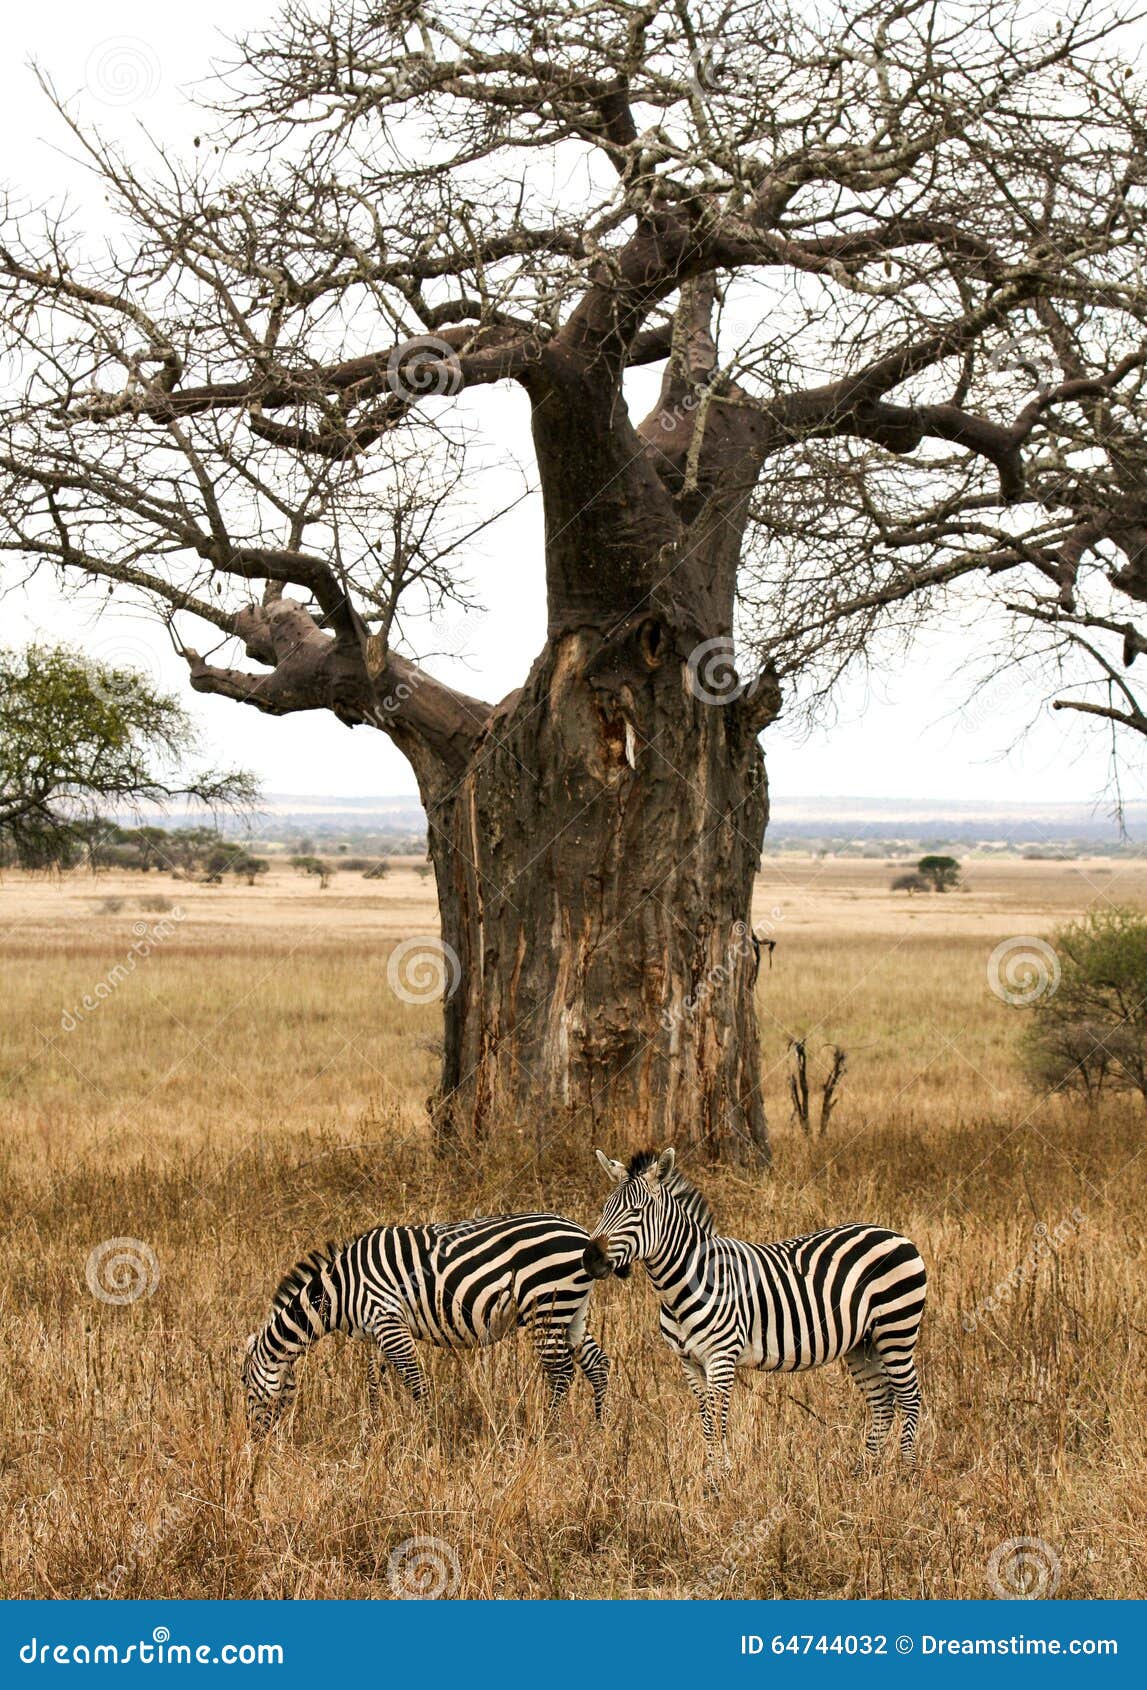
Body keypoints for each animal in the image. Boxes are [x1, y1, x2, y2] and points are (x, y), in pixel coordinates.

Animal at [242, 1212, 611, 1433]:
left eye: (245, 1384)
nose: (254, 1441)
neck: (340, 1288)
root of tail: (582, 1234)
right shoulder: (378, 1329)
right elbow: (373, 1383)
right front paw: (374, 1429)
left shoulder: (388, 1320)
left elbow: (415, 1383)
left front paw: (427, 1434)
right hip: (571, 1311)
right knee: (598, 1363)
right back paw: (598, 1429)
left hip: (547, 1307)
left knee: (562, 1373)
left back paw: (548, 1433)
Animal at [582, 1148, 926, 1486]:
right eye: (604, 1209)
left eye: (636, 1212)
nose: (589, 1259)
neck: (684, 1284)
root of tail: (895, 1234)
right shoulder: (689, 1362)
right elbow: (705, 1418)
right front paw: (713, 1480)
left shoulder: (721, 1357)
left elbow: (717, 1420)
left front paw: (720, 1482)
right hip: (862, 1343)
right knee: (882, 1401)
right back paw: (863, 1474)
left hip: (896, 1330)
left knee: (909, 1396)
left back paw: (906, 1474)